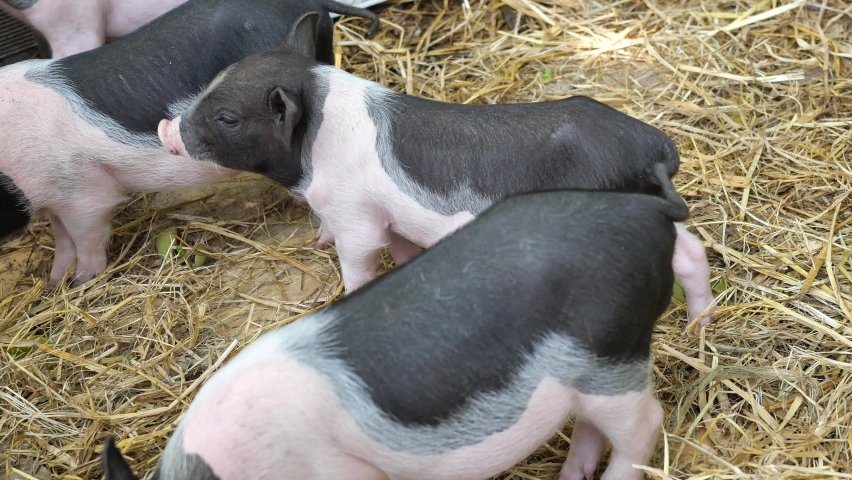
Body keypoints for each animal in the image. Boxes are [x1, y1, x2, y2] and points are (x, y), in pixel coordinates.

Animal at [158, 29, 718, 325]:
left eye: (228, 118)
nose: (166, 127)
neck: (315, 146)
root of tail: (652, 146)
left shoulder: (357, 218)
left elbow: (358, 262)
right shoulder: (391, 218)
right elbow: (400, 249)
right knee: (692, 252)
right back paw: (699, 325)